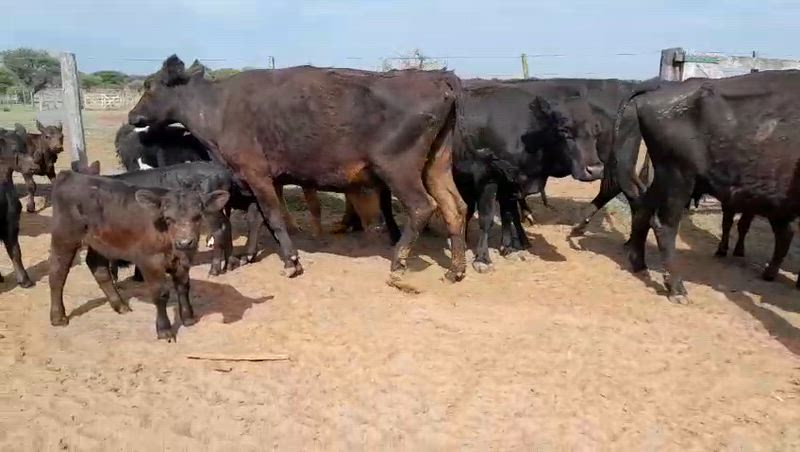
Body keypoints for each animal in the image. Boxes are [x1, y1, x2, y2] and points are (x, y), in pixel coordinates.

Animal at [48, 170, 229, 340]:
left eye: (197, 217)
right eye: (168, 218)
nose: (184, 242)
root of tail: (70, 175)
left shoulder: (184, 260)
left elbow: (183, 287)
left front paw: (188, 318)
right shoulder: (150, 262)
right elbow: (160, 294)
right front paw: (164, 330)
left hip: (99, 241)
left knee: (98, 268)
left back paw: (120, 305)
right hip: (64, 236)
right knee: (58, 272)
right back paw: (58, 317)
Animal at [128, 56, 468, 282]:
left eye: (149, 86)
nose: (132, 116)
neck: (218, 108)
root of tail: (435, 78)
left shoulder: (256, 173)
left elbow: (273, 217)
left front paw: (291, 261)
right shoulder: (263, 178)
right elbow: (257, 218)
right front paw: (248, 253)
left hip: (398, 168)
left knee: (422, 207)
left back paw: (398, 261)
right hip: (436, 165)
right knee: (455, 207)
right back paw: (456, 269)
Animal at [614, 70, 800, 302]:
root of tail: (662, 87)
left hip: (668, 180)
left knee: (643, 209)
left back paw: (640, 264)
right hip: (678, 178)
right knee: (664, 224)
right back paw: (677, 289)